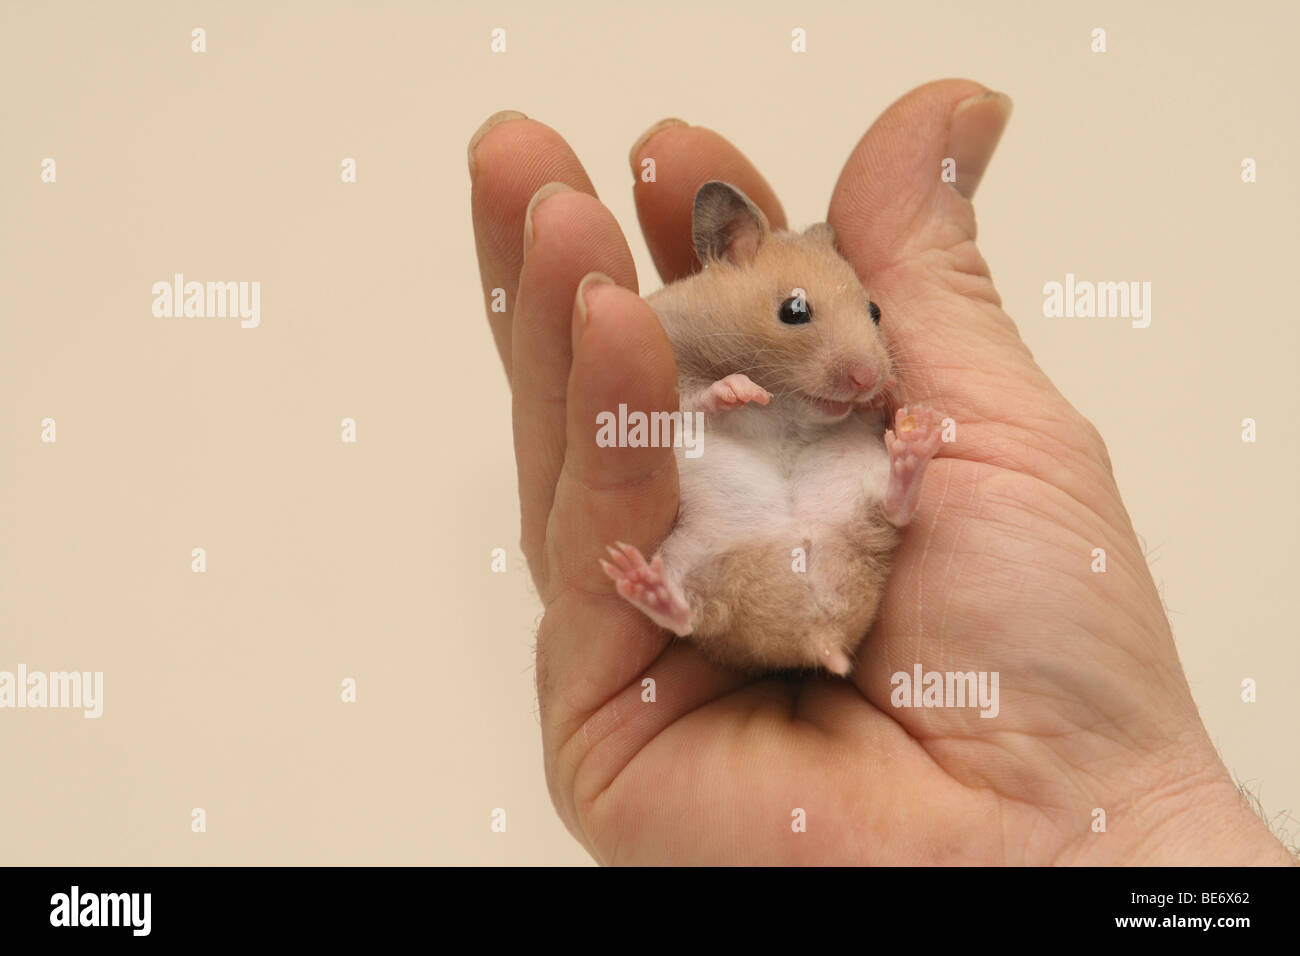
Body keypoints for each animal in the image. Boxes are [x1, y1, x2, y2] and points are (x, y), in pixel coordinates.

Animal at [599, 181, 945, 676]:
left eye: (875, 310)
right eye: (794, 310)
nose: (868, 379)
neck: (785, 406)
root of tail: (819, 635)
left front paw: (885, 396)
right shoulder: (665, 377)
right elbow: (696, 398)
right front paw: (740, 391)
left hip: (860, 489)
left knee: (895, 505)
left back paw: (917, 444)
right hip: (690, 554)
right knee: (684, 615)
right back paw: (638, 578)